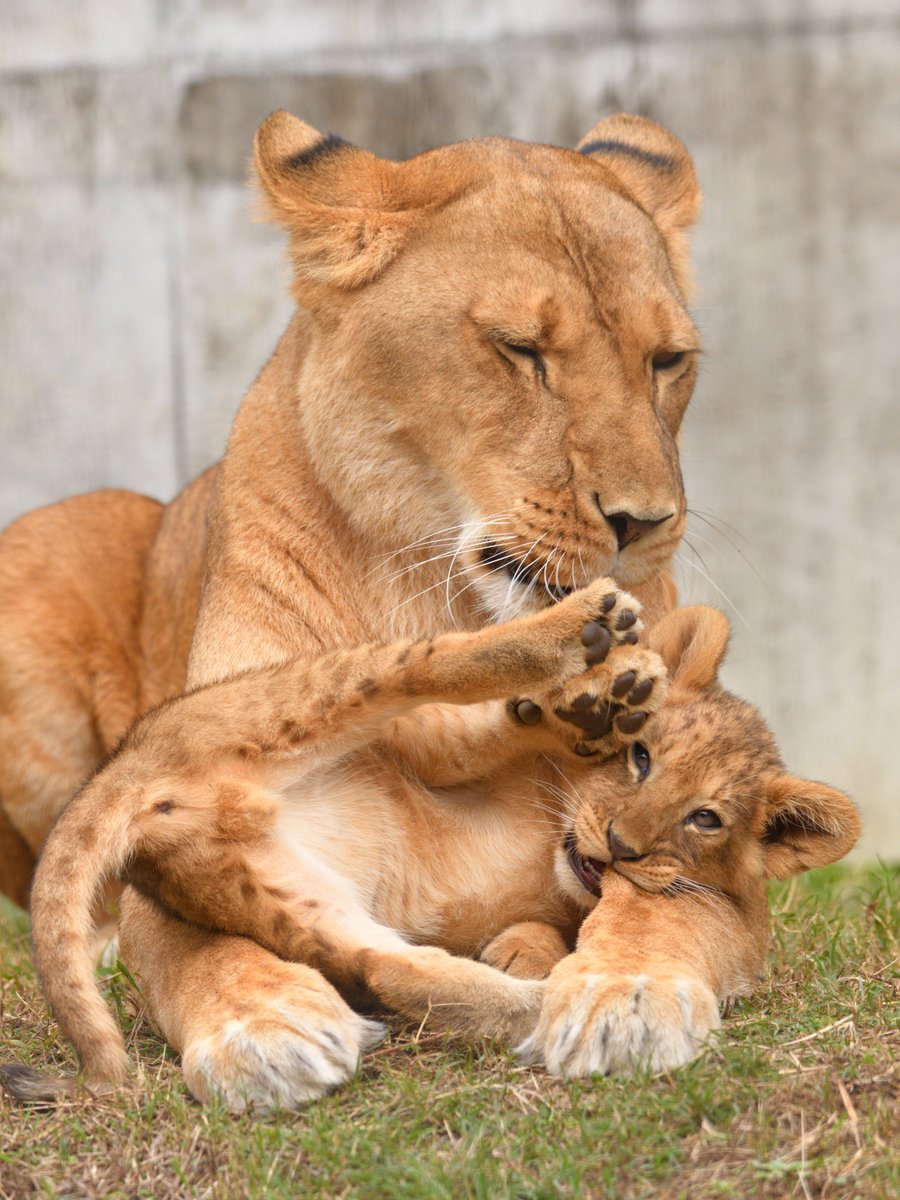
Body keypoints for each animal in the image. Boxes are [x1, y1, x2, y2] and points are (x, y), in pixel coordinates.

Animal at [0, 111, 852, 1109]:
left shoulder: (704, 886)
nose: (643, 522)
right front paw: (263, 1026)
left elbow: (665, 908)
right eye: (521, 350)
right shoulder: (166, 870)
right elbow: (198, 950)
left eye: (667, 361)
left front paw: (628, 993)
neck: (441, 589)